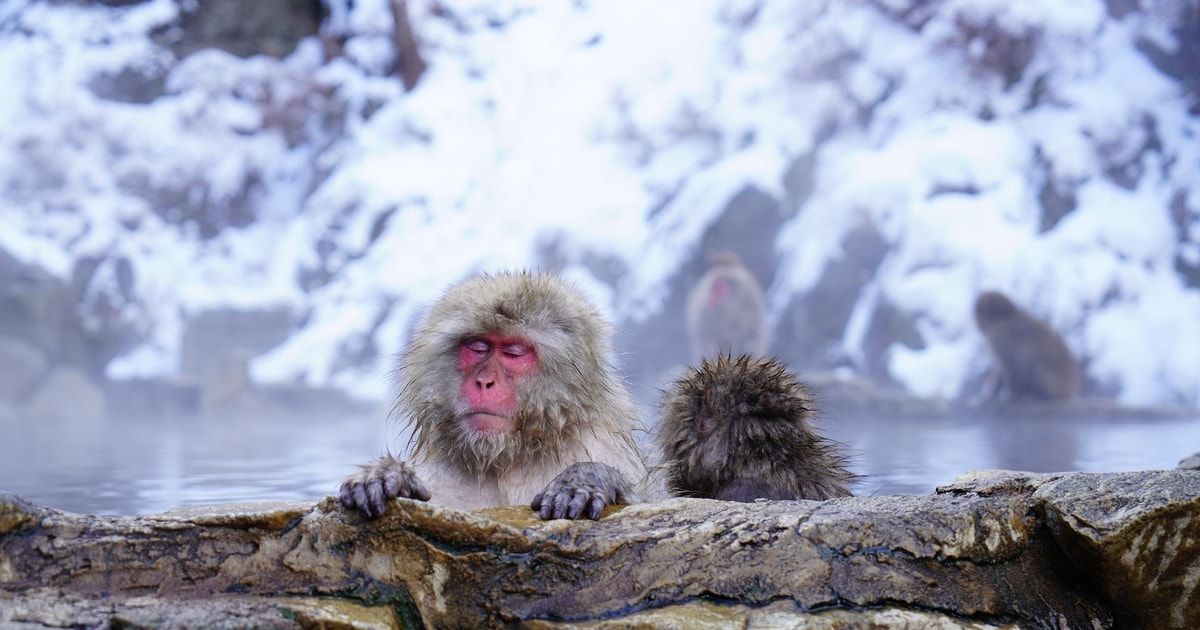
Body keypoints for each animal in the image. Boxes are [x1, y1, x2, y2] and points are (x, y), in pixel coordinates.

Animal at [339, 271, 647, 521]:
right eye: (478, 347)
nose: (485, 381)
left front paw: (585, 480)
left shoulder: (602, 446)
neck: (505, 459)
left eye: (514, 352)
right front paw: (387, 475)